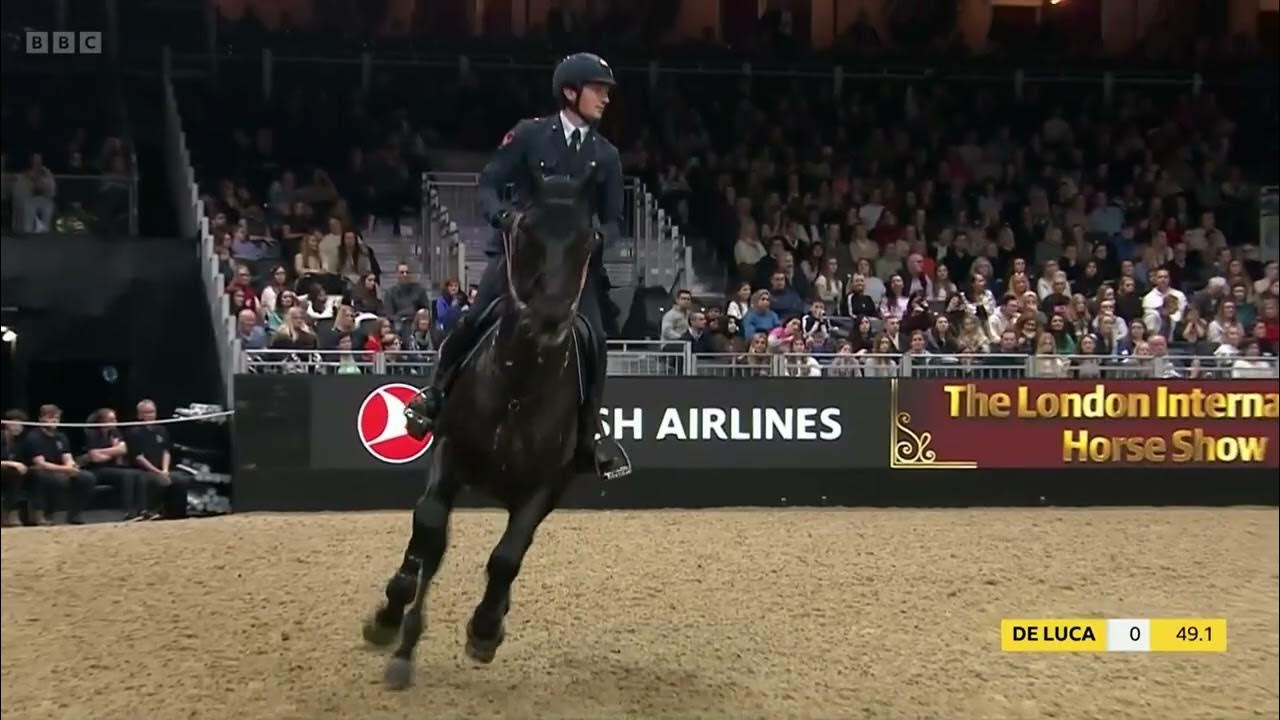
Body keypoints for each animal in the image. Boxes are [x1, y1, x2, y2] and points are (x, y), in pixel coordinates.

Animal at [361, 168, 602, 690]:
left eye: (589, 238)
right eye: (525, 230)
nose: (550, 317)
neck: (519, 386)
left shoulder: (546, 485)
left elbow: (507, 556)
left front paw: (486, 629)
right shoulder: (449, 454)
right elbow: (430, 531)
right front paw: (397, 632)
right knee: (428, 542)